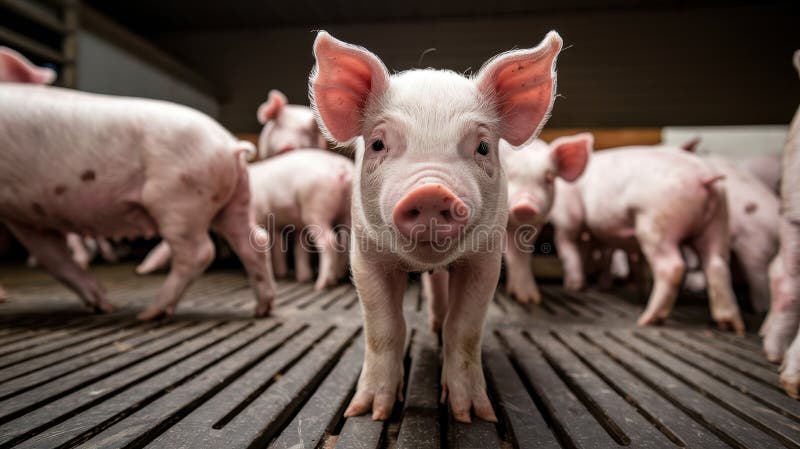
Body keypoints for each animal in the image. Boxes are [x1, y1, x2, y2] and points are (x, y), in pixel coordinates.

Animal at [0, 47, 274, 320]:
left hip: (179, 199)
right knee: (254, 240)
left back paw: (149, 313)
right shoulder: (28, 215)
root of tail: (229, 144)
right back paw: (261, 309)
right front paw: (105, 306)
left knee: (199, 252)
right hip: (233, 200)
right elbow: (53, 257)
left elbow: (52, 256)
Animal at [137, 149, 353, 291]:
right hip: (345, 213)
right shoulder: (282, 223)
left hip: (316, 206)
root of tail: (342, 168)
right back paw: (333, 277)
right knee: (345, 242)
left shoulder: (257, 216)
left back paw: (321, 284)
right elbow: (284, 248)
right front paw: (285, 274)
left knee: (329, 241)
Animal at [309, 30, 563, 422]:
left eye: (483, 147)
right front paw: (369, 413)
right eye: (378, 143)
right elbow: (384, 329)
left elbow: (464, 329)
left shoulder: (485, 259)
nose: (431, 192)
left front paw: (472, 415)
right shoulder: (366, 256)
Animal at [499, 134, 593, 304]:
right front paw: (525, 299)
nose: (525, 205)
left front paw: (532, 299)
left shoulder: (537, 224)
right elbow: (513, 253)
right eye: (508, 175)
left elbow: (523, 253)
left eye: (549, 178)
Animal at [549, 145, 744, 332]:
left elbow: (569, 246)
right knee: (717, 264)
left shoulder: (568, 215)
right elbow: (611, 255)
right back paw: (730, 325)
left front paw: (573, 287)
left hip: (656, 223)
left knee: (672, 267)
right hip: (719, 221)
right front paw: (602, 286)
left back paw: (647, 319)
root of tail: (704, 176)